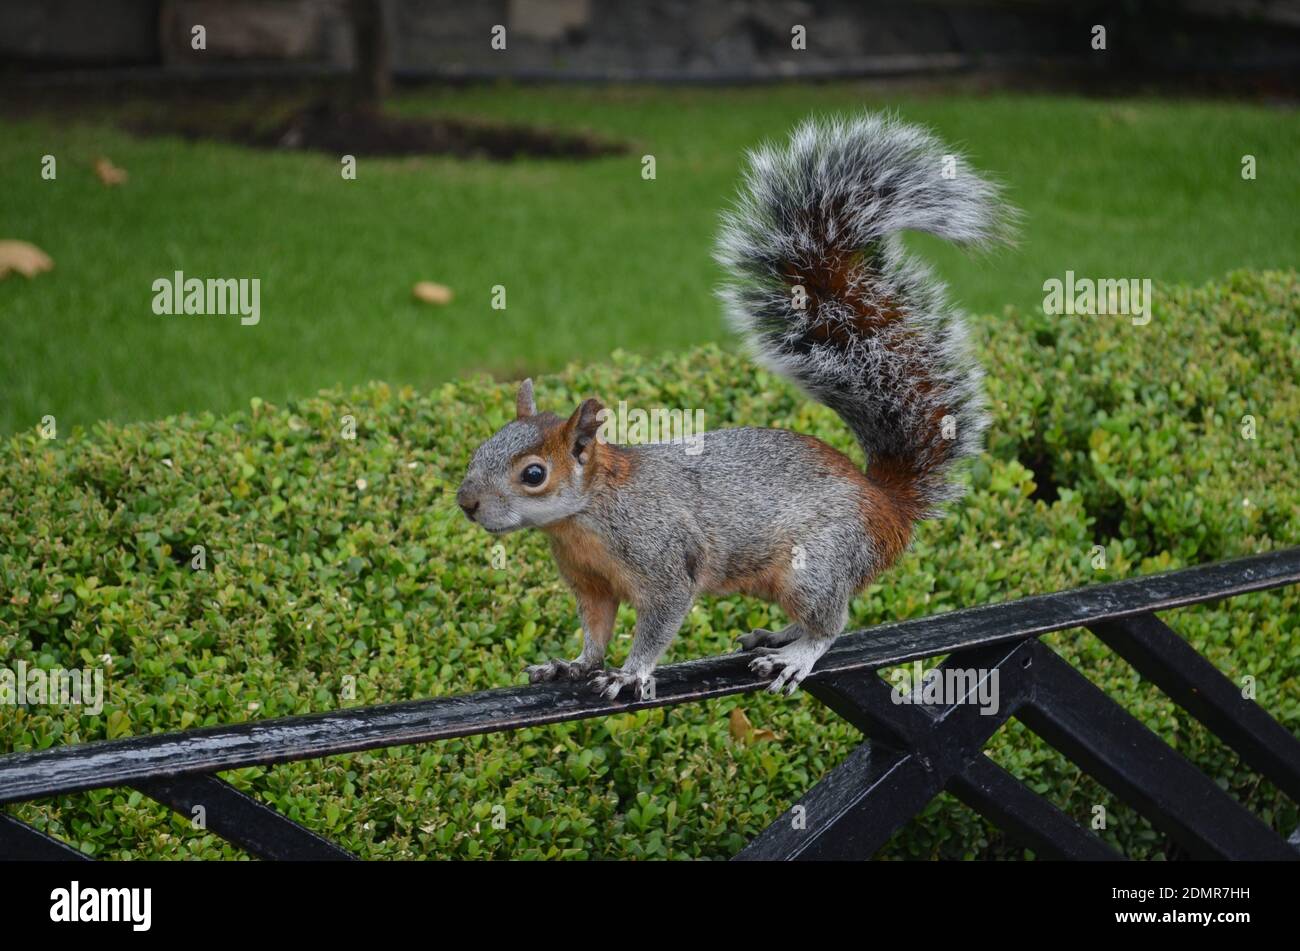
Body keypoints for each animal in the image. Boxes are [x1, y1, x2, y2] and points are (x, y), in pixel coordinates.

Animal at [456, 113, 1013, 700]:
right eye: (480, 449)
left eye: (534, 474)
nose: (466, 503)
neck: (585, 517)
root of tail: (888, 508)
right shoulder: (592, 584)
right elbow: (596, 630)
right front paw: (575, 664)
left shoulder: (663, 563)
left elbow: (658, 622)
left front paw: (631, 673)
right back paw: (778, 635)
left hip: (814, 564)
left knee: (830, 622)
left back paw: (795, 655)